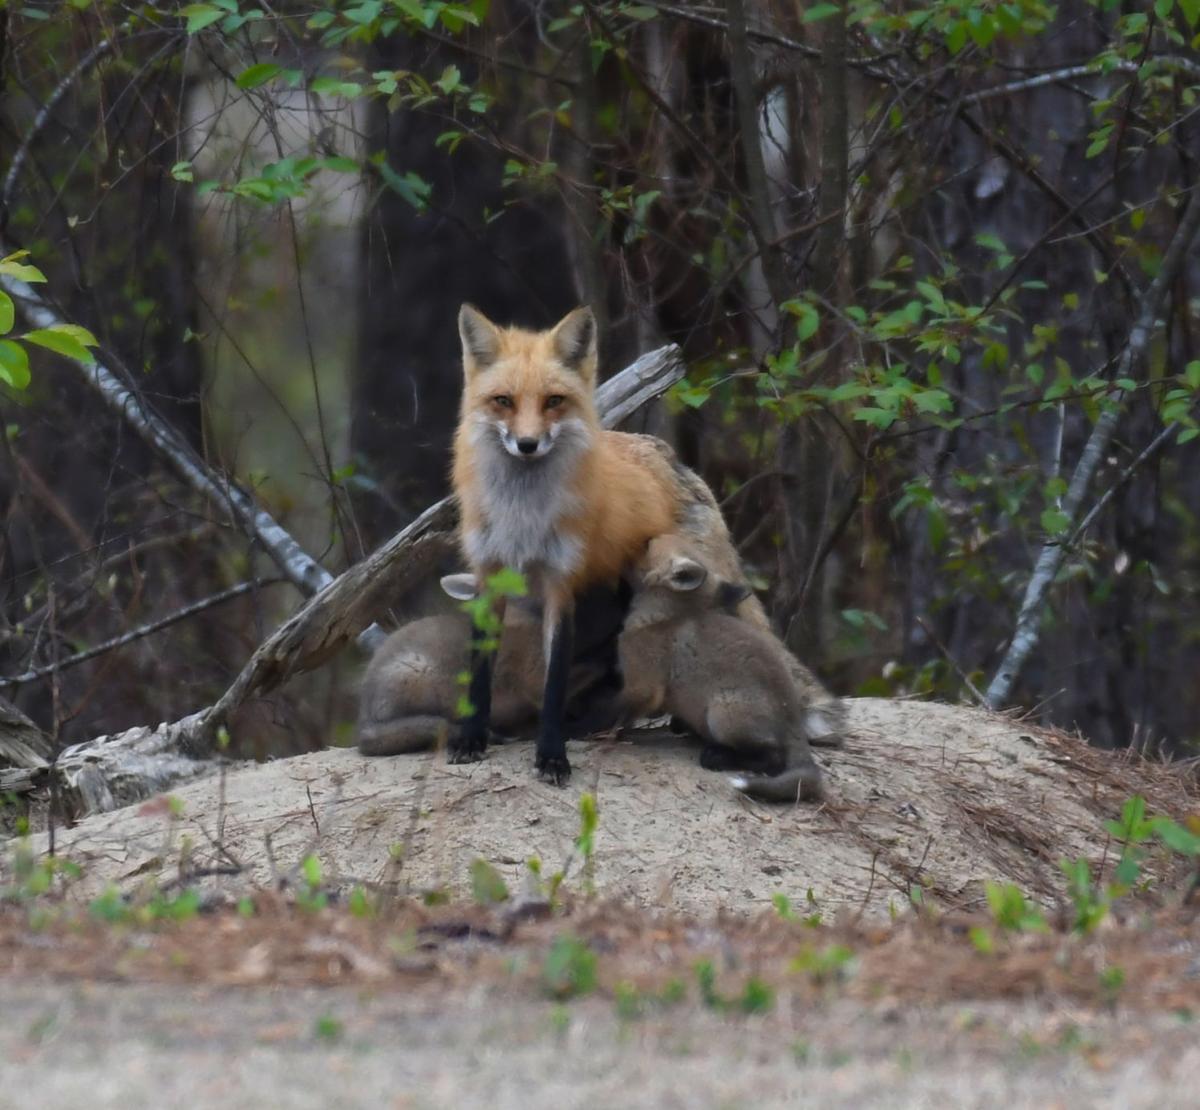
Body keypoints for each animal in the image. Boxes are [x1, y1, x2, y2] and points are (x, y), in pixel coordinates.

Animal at [451, 304, 682, 783]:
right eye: (503, 401)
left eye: (553, 401)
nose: (527, 444)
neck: (522, 517)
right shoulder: (489, 572)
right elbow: (480, 669)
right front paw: (471, 738)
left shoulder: (561, 581)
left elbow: (554, 679)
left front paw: (552, 754)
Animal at [616, 535, 830, 804]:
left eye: (646, 544)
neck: (666, 614)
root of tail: (794, 719)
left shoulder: (643, 684)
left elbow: (617, 711)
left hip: (723, 715)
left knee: (772, 758)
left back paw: (718, 757)